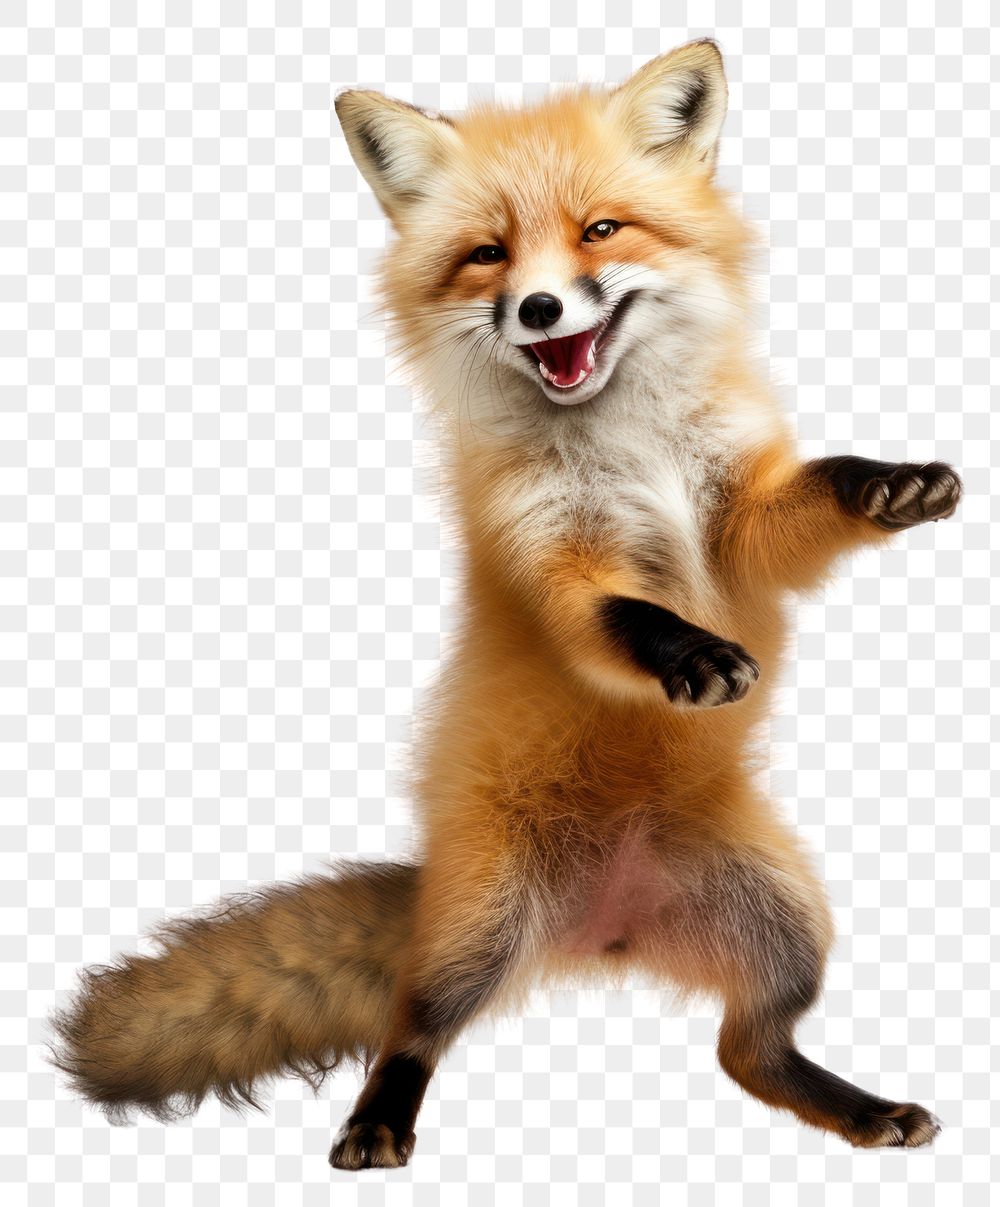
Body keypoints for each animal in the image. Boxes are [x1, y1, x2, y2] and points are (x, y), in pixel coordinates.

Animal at [50, 40, 961, 1169]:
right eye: (488, 254)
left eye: (600, 230)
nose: (538, 309)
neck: (628, 445)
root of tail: (606, 931)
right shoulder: (552, 562)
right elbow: (621, 619)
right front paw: (692, 657)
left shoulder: (738, 526)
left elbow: (817, 492)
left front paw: (892, 484)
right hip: (473, 933)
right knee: (412, 1027)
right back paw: (375, 1123)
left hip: (792, 918)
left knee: (747, 1052)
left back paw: (858, 1105)